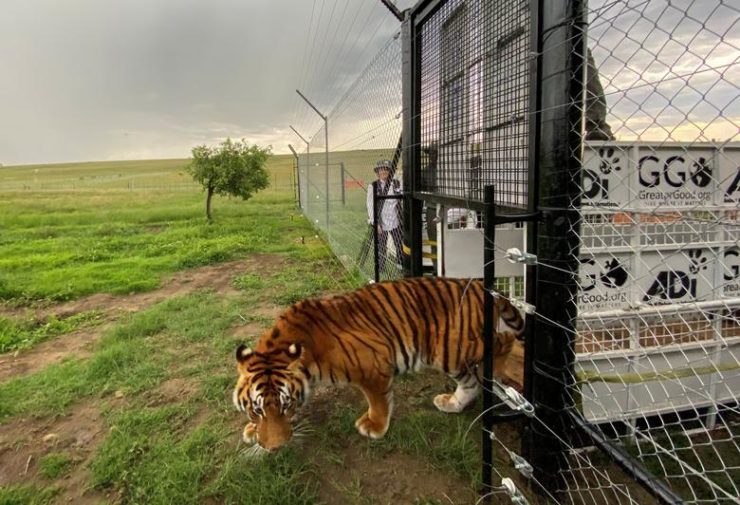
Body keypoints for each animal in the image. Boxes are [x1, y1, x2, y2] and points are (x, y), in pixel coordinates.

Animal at [232, 276, 524, 452]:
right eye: (257, 410)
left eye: (284, 405)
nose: (275, 448)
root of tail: (478, 284)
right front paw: (252, 430)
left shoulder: (374, 362)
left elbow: (378, 400)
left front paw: (374, 426)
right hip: (453, 357)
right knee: (471, 382)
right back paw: (452, 403)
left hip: (451, 347)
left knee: (506, 341)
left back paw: (499, 370)